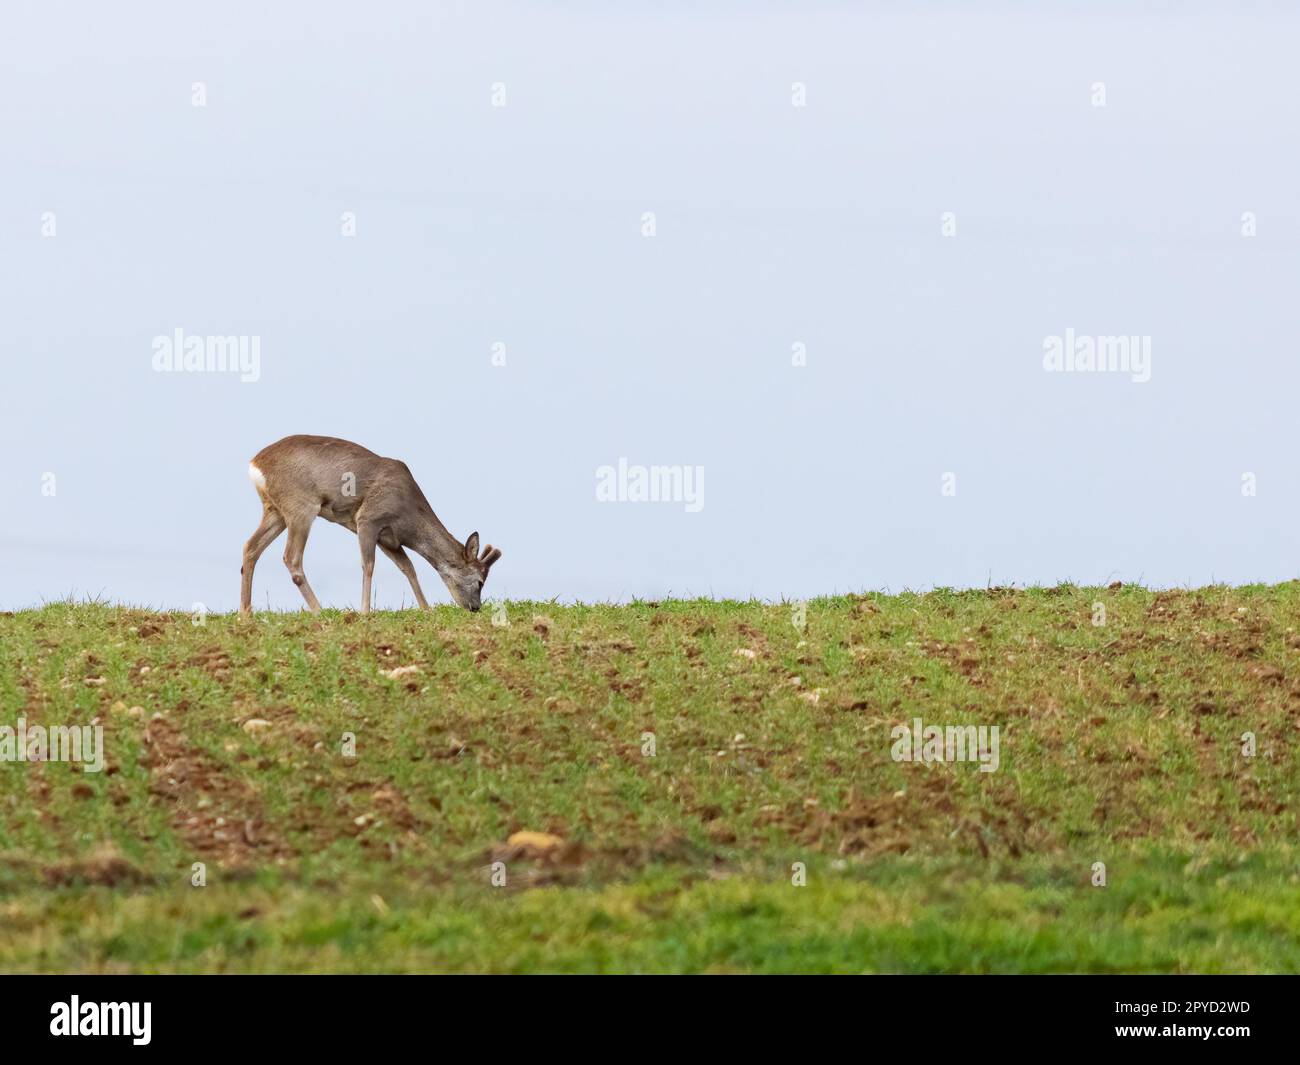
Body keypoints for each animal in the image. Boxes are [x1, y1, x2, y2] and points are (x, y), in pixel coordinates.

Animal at [240, 435, 501, 615]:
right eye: (480, 581)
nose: (475, 607)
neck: (409, 520)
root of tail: (254, 465)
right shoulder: (367, 519)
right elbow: (368, 565)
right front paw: (365, 611)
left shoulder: (389, 539)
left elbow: (408, 568)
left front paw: (426, 609)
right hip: (300, 506)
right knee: (291, 557)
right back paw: (319, 610)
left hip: (275, 511)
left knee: (250, 547)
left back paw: (245, 612)